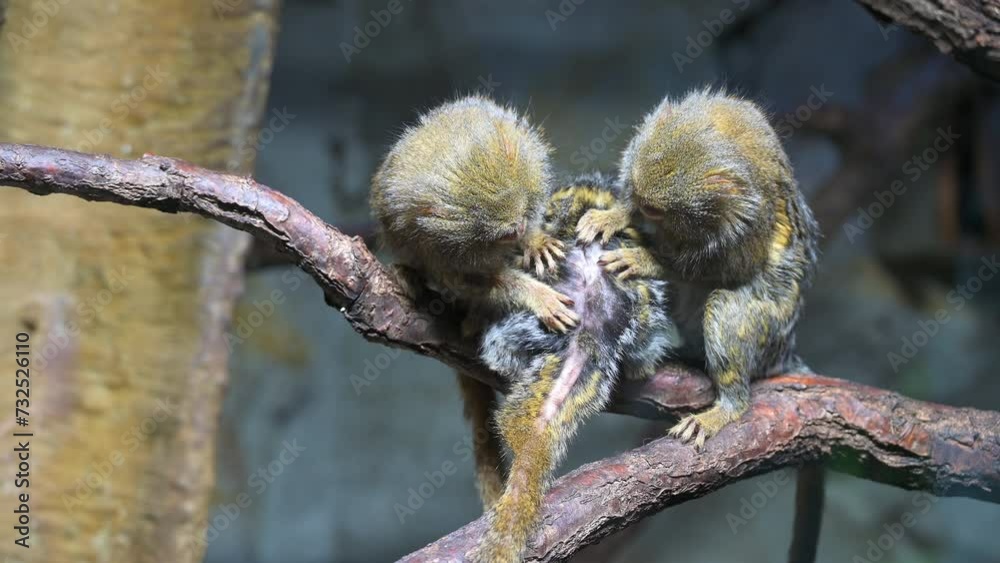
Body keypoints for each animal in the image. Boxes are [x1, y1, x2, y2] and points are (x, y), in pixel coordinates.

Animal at [370, 95, 578, 510]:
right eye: (501, 231)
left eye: (522, 214)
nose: (518, 229)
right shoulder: (435, 244)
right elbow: (472, 282)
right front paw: (538, 296)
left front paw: (535, 241)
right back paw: (414, 279)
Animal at [577, 89, 820, 449]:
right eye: (643, 204)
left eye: (656, 210)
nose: (644, 214)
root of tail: (782, 353)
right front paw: (614, 216)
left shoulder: (747, 217)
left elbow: (734, 267)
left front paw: (646, 259)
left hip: (772, 327)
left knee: (727, 309)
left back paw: (727, 408)